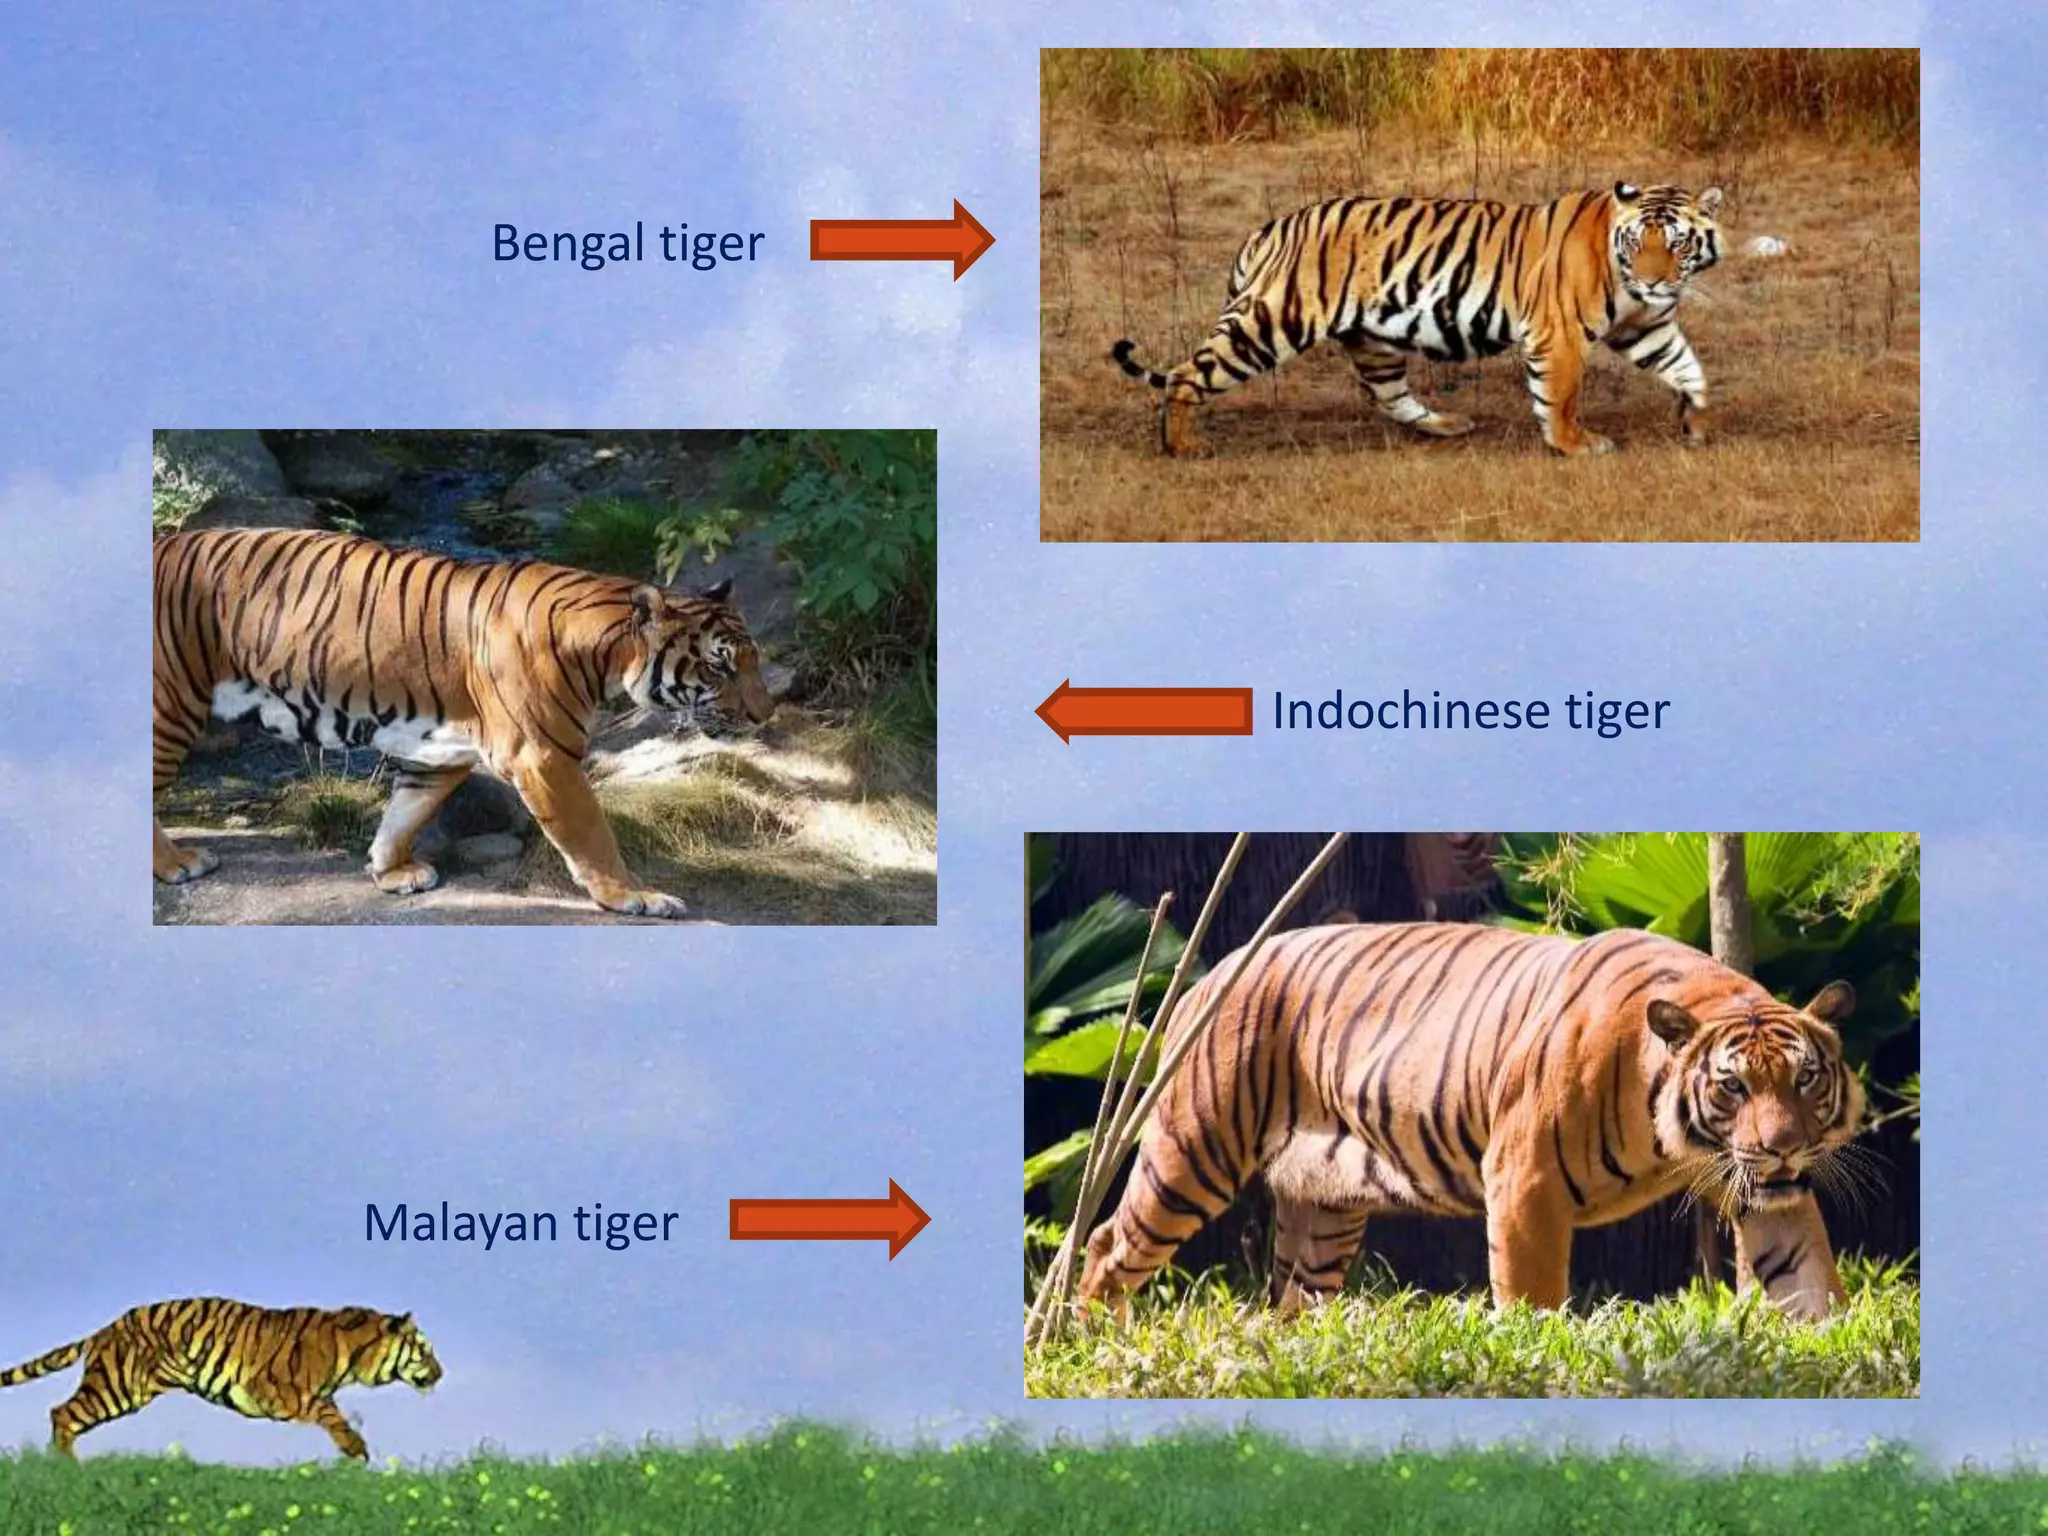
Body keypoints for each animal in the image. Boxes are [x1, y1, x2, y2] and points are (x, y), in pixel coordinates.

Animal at [0, 1297, 441, 1460]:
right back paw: (66, 1467)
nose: (441, 1372)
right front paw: (356, 1448)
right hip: (117, 1387)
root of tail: (105, 1328)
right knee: (62, 1413)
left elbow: (332, 1410)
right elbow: (327, 1411)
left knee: (64, 1414)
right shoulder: (280, 1391)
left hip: (125, 1391)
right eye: (424, 1350)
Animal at [153, 527, 774, 919]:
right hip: (170, 707)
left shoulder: (438, 751)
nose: (765, 714)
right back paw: (178, 864)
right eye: (719, 665)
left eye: (752, 658)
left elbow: (405, 812)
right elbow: (592, 834)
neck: (604, 656)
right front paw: (633, 897)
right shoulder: (544, 758)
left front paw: (389, 872)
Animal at [1079, 923, 1863, 1323]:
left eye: (1806, 1079)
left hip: (1323, 1212)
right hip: (1194, 1152)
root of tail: (1211, 972)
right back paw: (1091, 1340)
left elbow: (1806, 1280)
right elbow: (1530, 1298)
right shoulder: (1524, 1182)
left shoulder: (1760, 1191)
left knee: (1291, 1299)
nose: (1784, 1149)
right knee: (1107, 1243)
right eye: (1733, 1086)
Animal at [1112, 182, 1724, 457]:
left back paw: (1446, 424)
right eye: (1637, 242)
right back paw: (1183, 445)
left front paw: (1695, 424)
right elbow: (1562, 396)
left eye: (1676, 244)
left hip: (1372, 339)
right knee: (1187, 374)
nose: (1653, 281)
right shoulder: (1561, 335)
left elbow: (1690, 370)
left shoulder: (1645, 327)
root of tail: (1271, 227)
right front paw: (1575, 444)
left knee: (1389, 396)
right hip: (1272, 321)